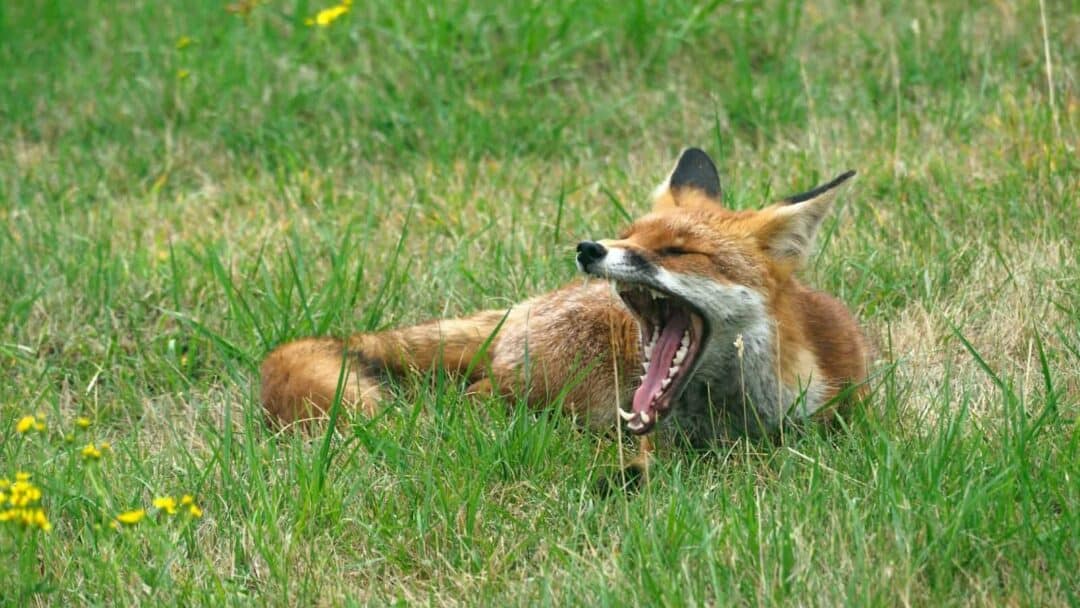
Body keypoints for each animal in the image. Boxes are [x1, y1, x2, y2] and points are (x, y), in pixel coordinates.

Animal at [260, 148, 868, 478]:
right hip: (569, 382)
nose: (589, 248)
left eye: (677, 251)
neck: (727, 419)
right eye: (628, 235)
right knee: (478, 397)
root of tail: (523, 305)